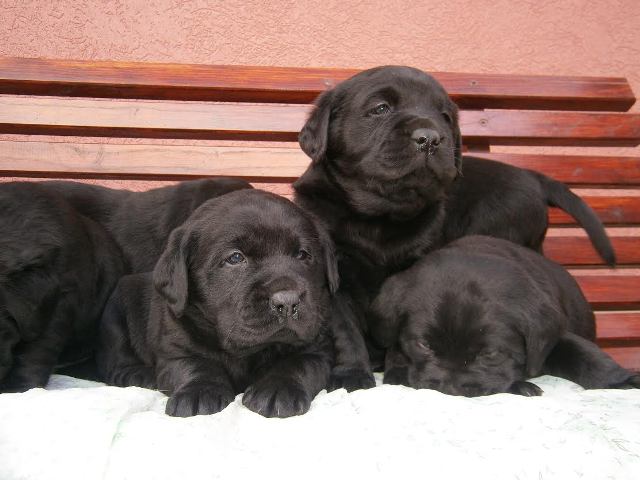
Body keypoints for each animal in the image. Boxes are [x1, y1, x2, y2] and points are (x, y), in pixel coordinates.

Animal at [95, 189, 340, 418]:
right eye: (235, 258)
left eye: (302, 255)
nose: (288, 301)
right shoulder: (174, 349)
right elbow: (195, 365)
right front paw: (199, 391)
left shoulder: (317, 348)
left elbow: (299, 363)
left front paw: (278, 389)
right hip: (115, 312)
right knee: (116, 359)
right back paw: (138, 374)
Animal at [292, 64, 616, 390]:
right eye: (381, 108)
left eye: (445, 117)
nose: (430, 138)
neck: (381, 218)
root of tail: (531, 176)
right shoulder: (336, 274)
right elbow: (345, 331)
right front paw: (352, 374)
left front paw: (398, 370)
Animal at [368, 234, 636, 396]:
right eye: (423, 345)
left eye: (490, 354)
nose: (450, 388)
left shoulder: (552, 338)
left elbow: (585, 354)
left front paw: (622, 380)